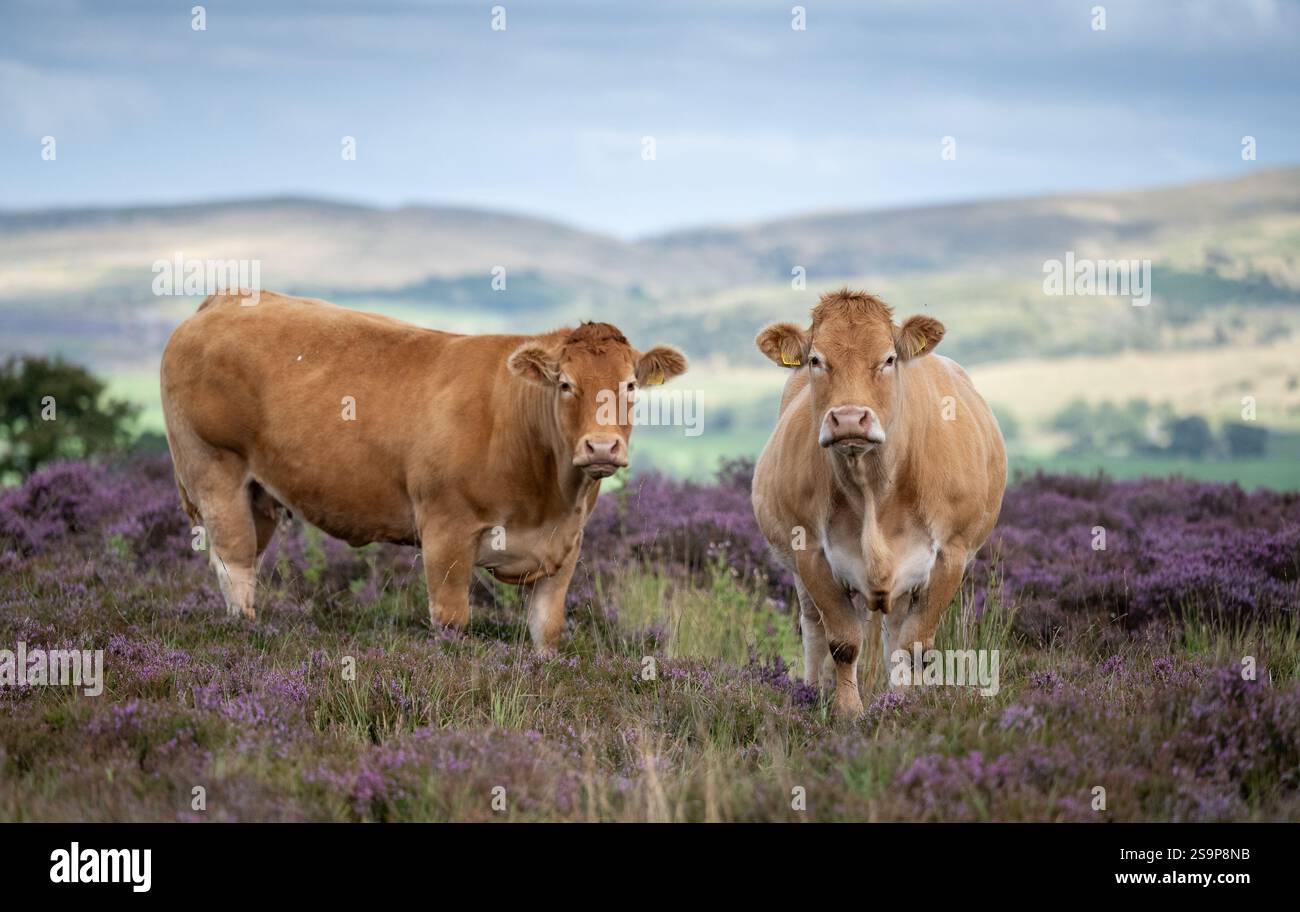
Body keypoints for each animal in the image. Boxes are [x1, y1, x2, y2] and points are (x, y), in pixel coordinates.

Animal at [160, 290, 687, 653]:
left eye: (631, 385)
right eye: (565, 384)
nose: (601, 446)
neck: (548, 498)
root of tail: (224, 299)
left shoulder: (567, 544)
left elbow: (548, 629)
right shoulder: (446, 529)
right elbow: (452, 620)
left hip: (260, 493)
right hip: (214, 469)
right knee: (234, 562)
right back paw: (246, 632)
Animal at [751, 289, 1006, 716]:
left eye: (887, 359)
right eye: (816, 359)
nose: (850, 418)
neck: (872, 490)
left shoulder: (949, 557)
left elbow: (913, 647)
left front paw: (904, 707)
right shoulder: (813, 555)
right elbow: (843, 642)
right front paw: (848, 711)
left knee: (894, 639)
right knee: (813, 630)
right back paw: (812, 691)